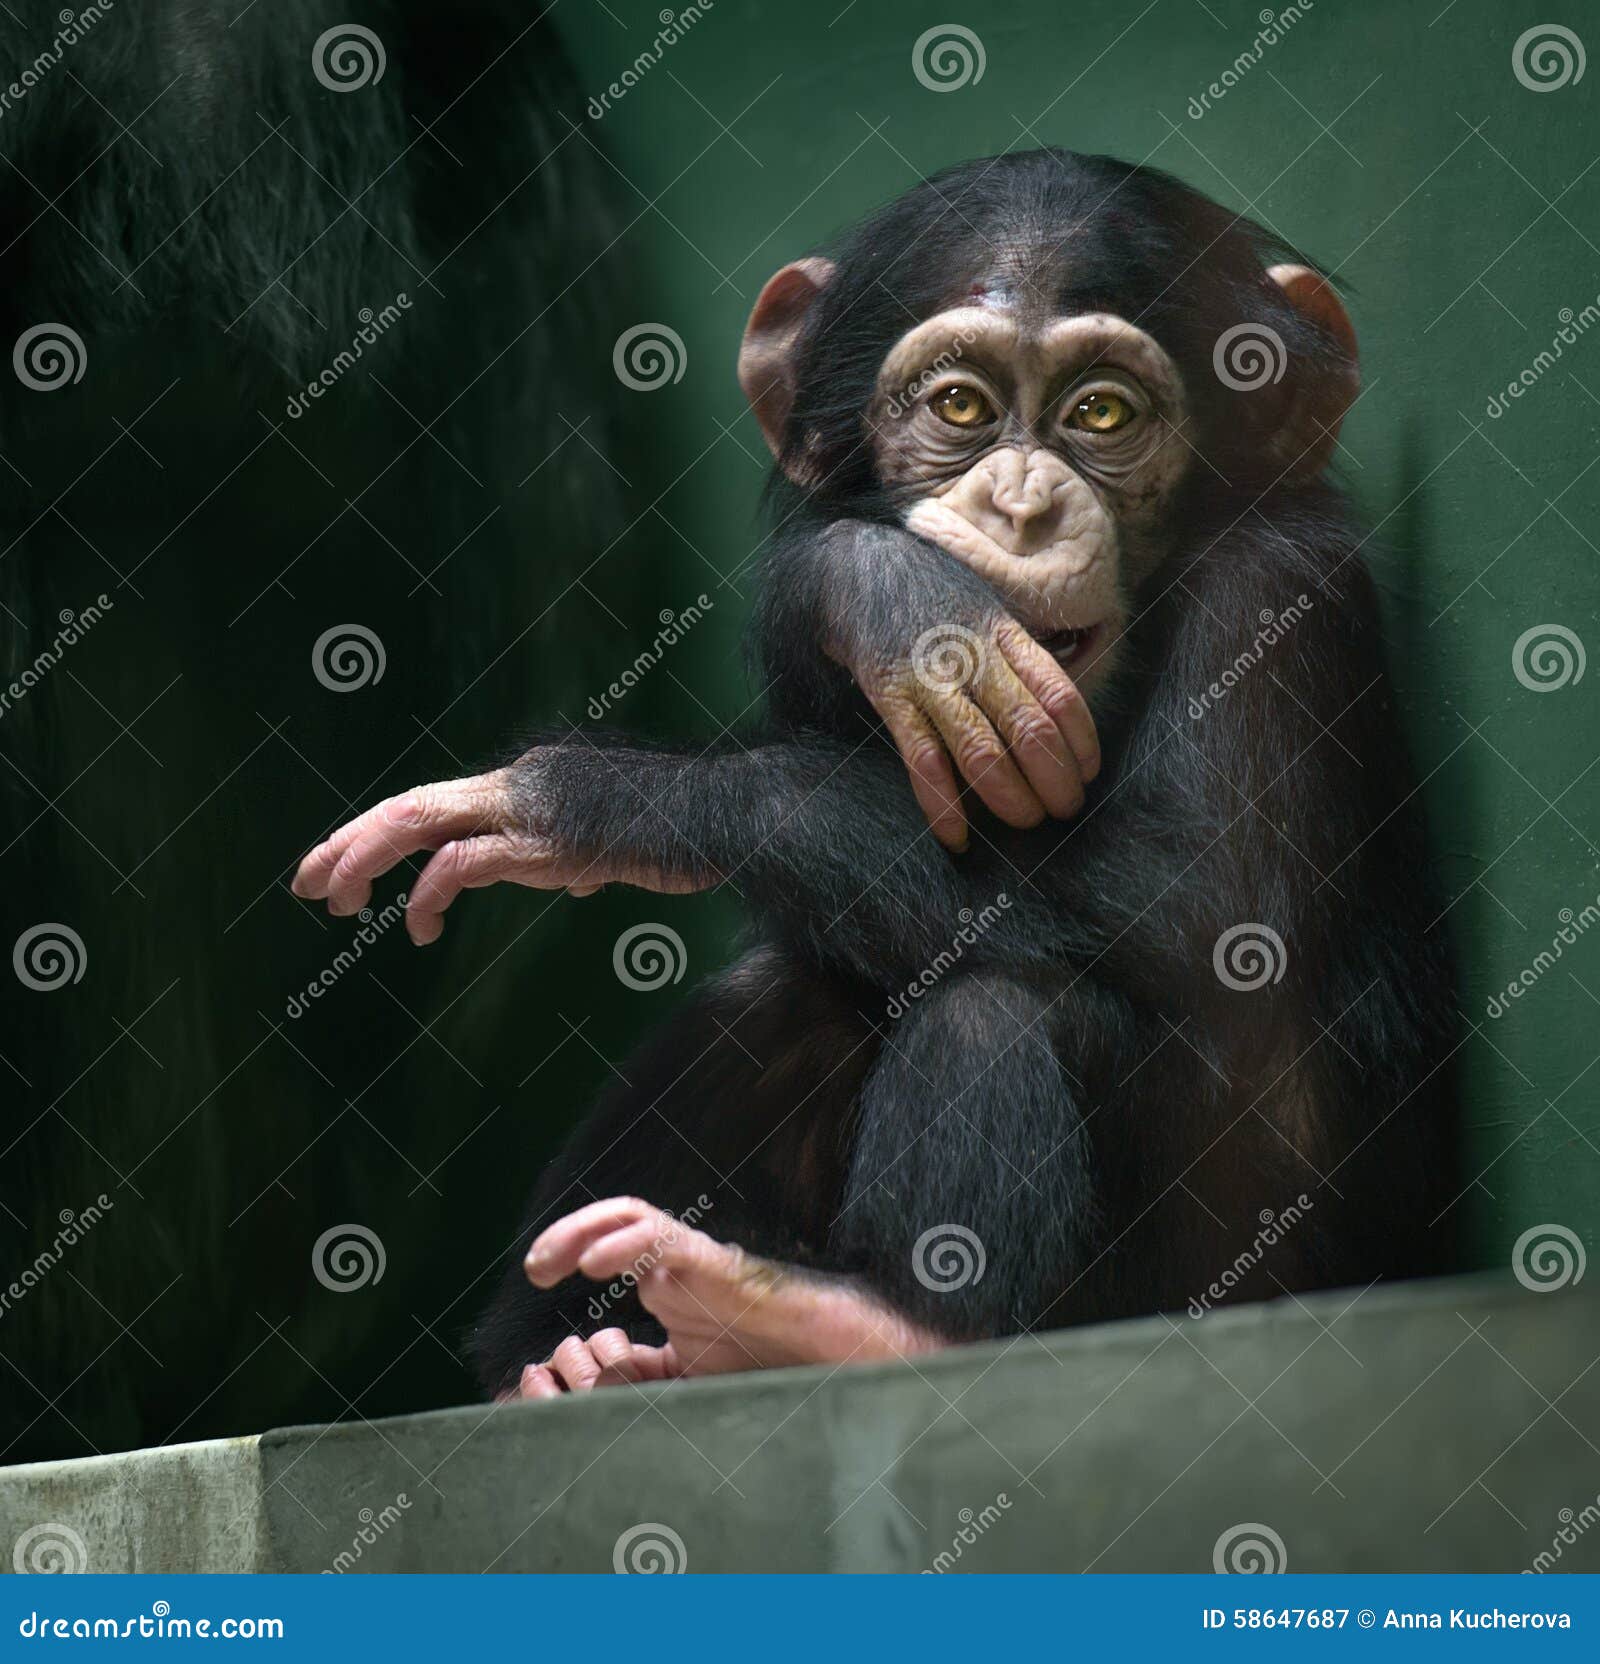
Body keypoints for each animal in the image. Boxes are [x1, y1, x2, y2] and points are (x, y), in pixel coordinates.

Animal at [294, 148, 1459, 1401]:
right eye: (961, 406)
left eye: (1101, 412)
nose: (1021, 501)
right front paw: (873, 592)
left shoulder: (1279, 595)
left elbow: (1206, 915)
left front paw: (587, 799)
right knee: (791, 980)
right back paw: (565, 1352)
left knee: (994, 1003)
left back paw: (862, 1321)